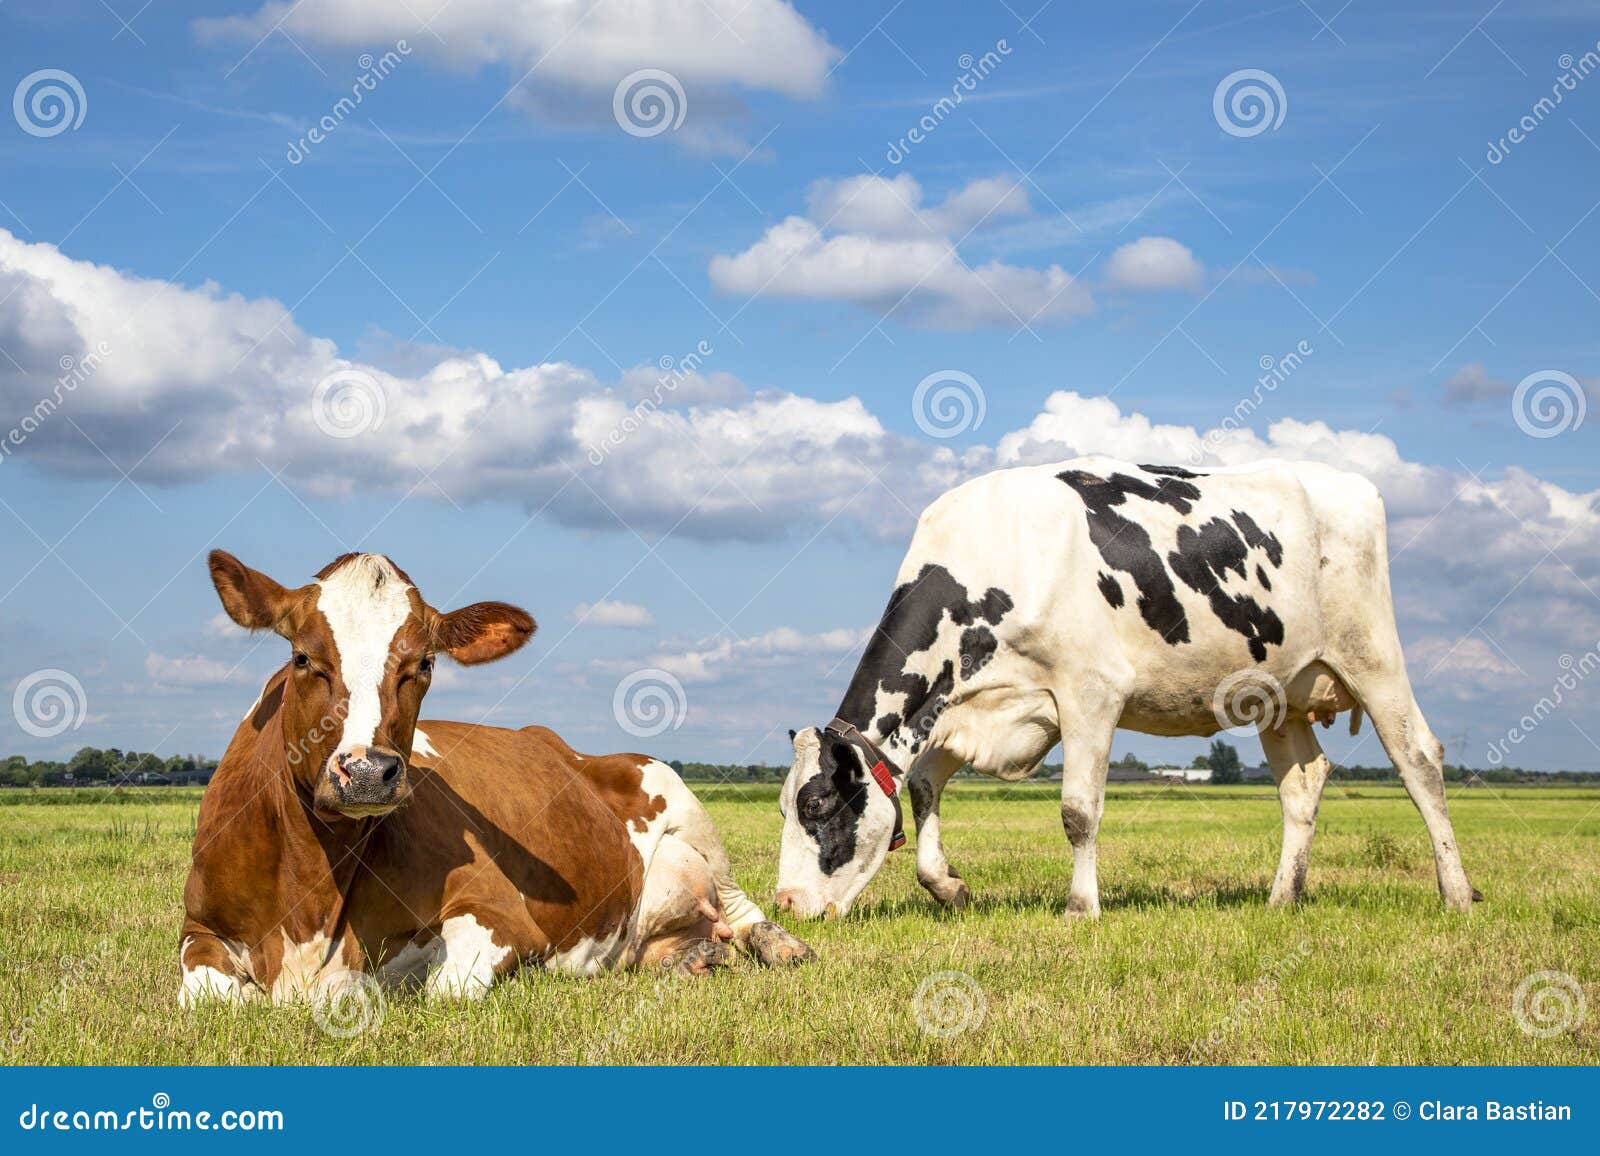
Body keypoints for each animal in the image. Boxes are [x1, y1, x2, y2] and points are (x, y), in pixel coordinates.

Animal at [180, 550, 811, 1006]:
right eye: (303, 657)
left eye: (424, 664)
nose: (366, 772)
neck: (314, 889)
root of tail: (556, 742)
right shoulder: (198, 927)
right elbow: (212, 997)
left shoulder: (503, 915)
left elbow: (438, 989)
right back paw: (693, 957)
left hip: (682, 801)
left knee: (741, 908)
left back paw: (782, 945)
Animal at [774, 457, 1478, 920]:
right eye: (782, 808)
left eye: (816, 806)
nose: (784, 902)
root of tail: (1351, 481)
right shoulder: (978, 710)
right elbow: (920, 788)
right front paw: (949, 886)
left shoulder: (1091, 692)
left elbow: (1078, 811)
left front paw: (1081, 908)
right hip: (1281, 691)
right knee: (1303, 784)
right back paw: (1281, 898)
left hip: (1373, 656)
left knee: (1420, 760)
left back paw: (1456, 892)